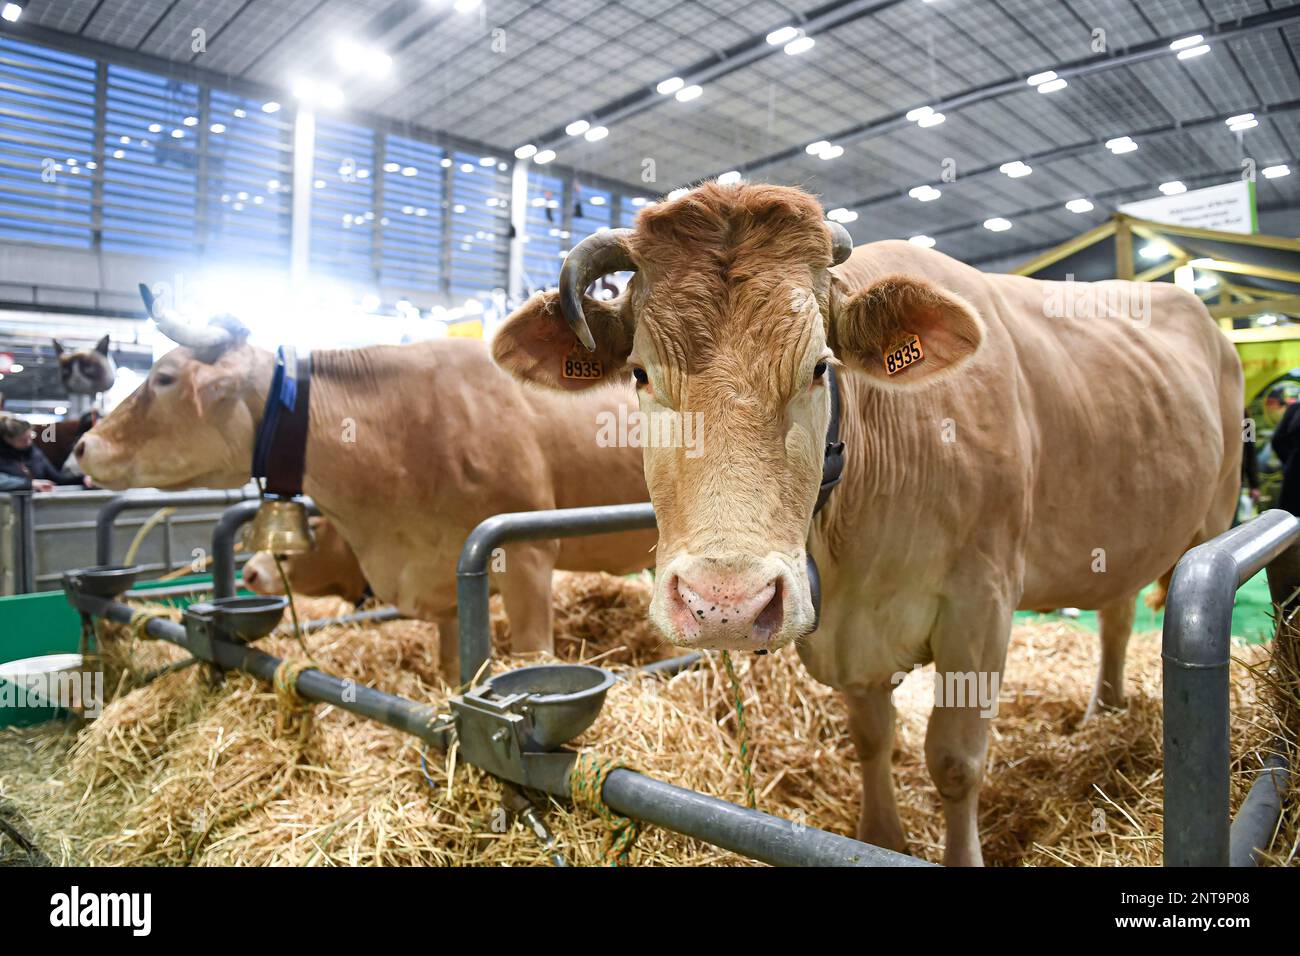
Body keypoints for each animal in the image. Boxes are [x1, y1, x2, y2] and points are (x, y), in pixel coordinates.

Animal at [76, 314, 657, 674]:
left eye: (165, 377)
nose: (83, 446)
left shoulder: (528, 551)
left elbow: (534, 655)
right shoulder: (441, 578)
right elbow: (454, 667)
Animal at [490, 182, 1243, 865]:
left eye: (819, 367)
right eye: (641, 374)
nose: (725, 604)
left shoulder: (982, 604)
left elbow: (955, 759)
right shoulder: (849, 633)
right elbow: (871, 736)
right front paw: (880, 837)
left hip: (1215, 518)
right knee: (1116, 611)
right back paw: (1103, 713)